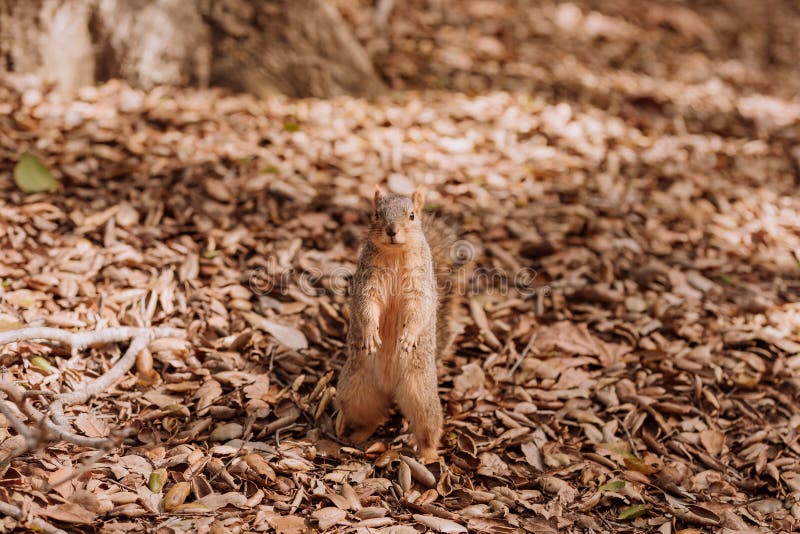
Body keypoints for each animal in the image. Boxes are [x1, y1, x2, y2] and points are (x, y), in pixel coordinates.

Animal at [335, 186, 462, 463]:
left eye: (412, 215)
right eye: (376, 214)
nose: (392, 230)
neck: (395, 255)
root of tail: (390, 388)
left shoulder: (419, 285)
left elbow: (417, 310)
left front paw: (408, 337)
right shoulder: (368, 282)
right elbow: (367, 308)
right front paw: (370, 335)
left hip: (422, 396)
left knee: (428, 428)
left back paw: (428, 454)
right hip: (355, 392)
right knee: (370, 419)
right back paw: (356, 437)